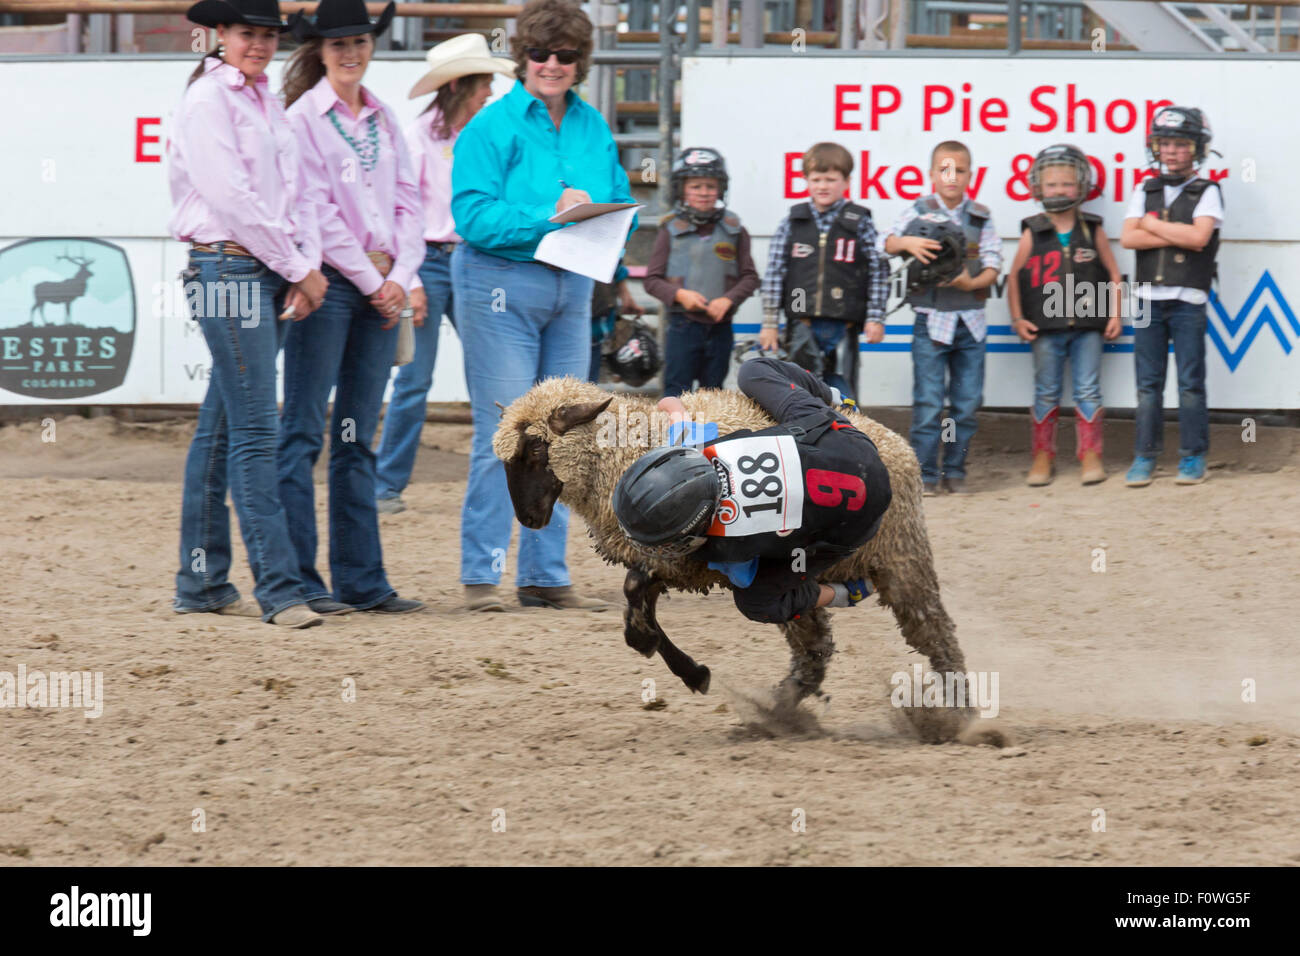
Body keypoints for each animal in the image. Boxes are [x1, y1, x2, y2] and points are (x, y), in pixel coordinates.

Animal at [494, 376, 978, 742]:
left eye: (536, 449)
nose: (528, 518)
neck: (624, 453)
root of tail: (892, 442)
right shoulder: (668, 560)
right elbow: (637, 602)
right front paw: (681, 665)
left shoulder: (686, 559)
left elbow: (636, 596)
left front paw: (681, 664)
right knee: (815, 648)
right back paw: (780, 711)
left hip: (899, 554)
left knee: (934, 632)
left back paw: (960, 716)